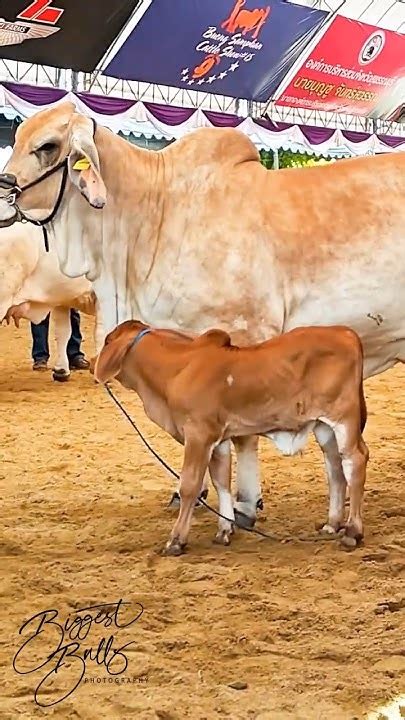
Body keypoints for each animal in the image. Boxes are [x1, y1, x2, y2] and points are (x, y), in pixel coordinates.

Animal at [94, 320, 369, 555]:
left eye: (107, 340)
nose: (92, 361)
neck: (178, 368)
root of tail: (346, 333)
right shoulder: (219, 440)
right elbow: (221, 481)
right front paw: (224, 530)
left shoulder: (198, 435)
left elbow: (190, 485)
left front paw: (176, 540)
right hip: (324, 427)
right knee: (335, 468)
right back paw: (332, 524)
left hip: (343, 419)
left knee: (354, 460)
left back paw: (352, 531)